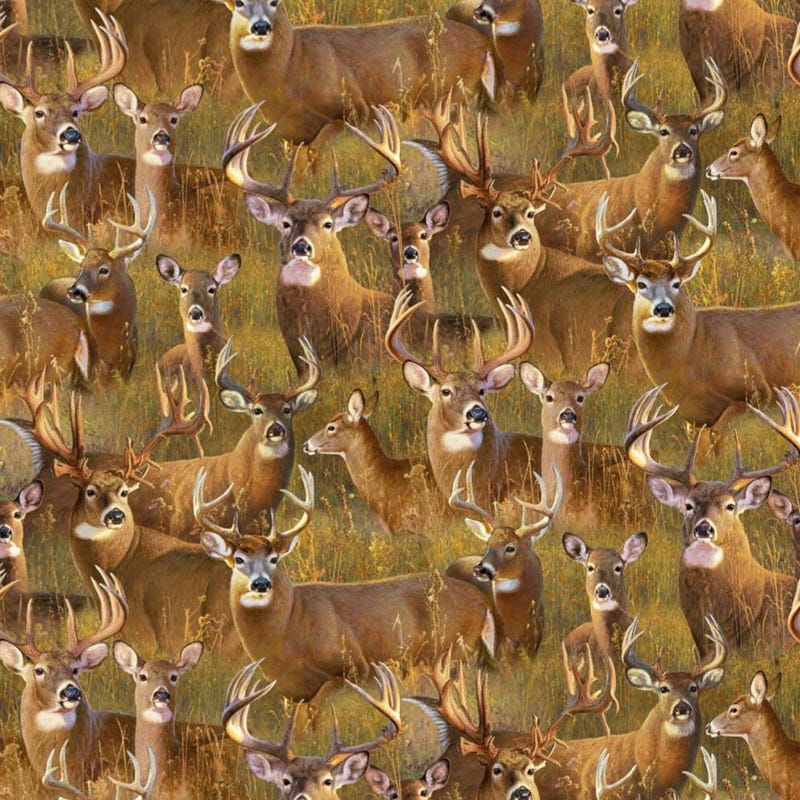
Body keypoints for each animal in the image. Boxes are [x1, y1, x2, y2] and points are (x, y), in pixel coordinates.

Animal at [197, 466, 499, 705]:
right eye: (238, 559)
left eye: (274, 559)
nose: (261, 584)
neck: (290, 627)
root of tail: (482, 601)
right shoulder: (292, 691)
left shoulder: (355, 665)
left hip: (453, 650)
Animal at [213, 0, 497, 152]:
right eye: (238, 2)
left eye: (275, 2)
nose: (261, 26)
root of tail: (482, 43)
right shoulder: (294, 136)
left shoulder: (355, 108)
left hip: (449, 93)